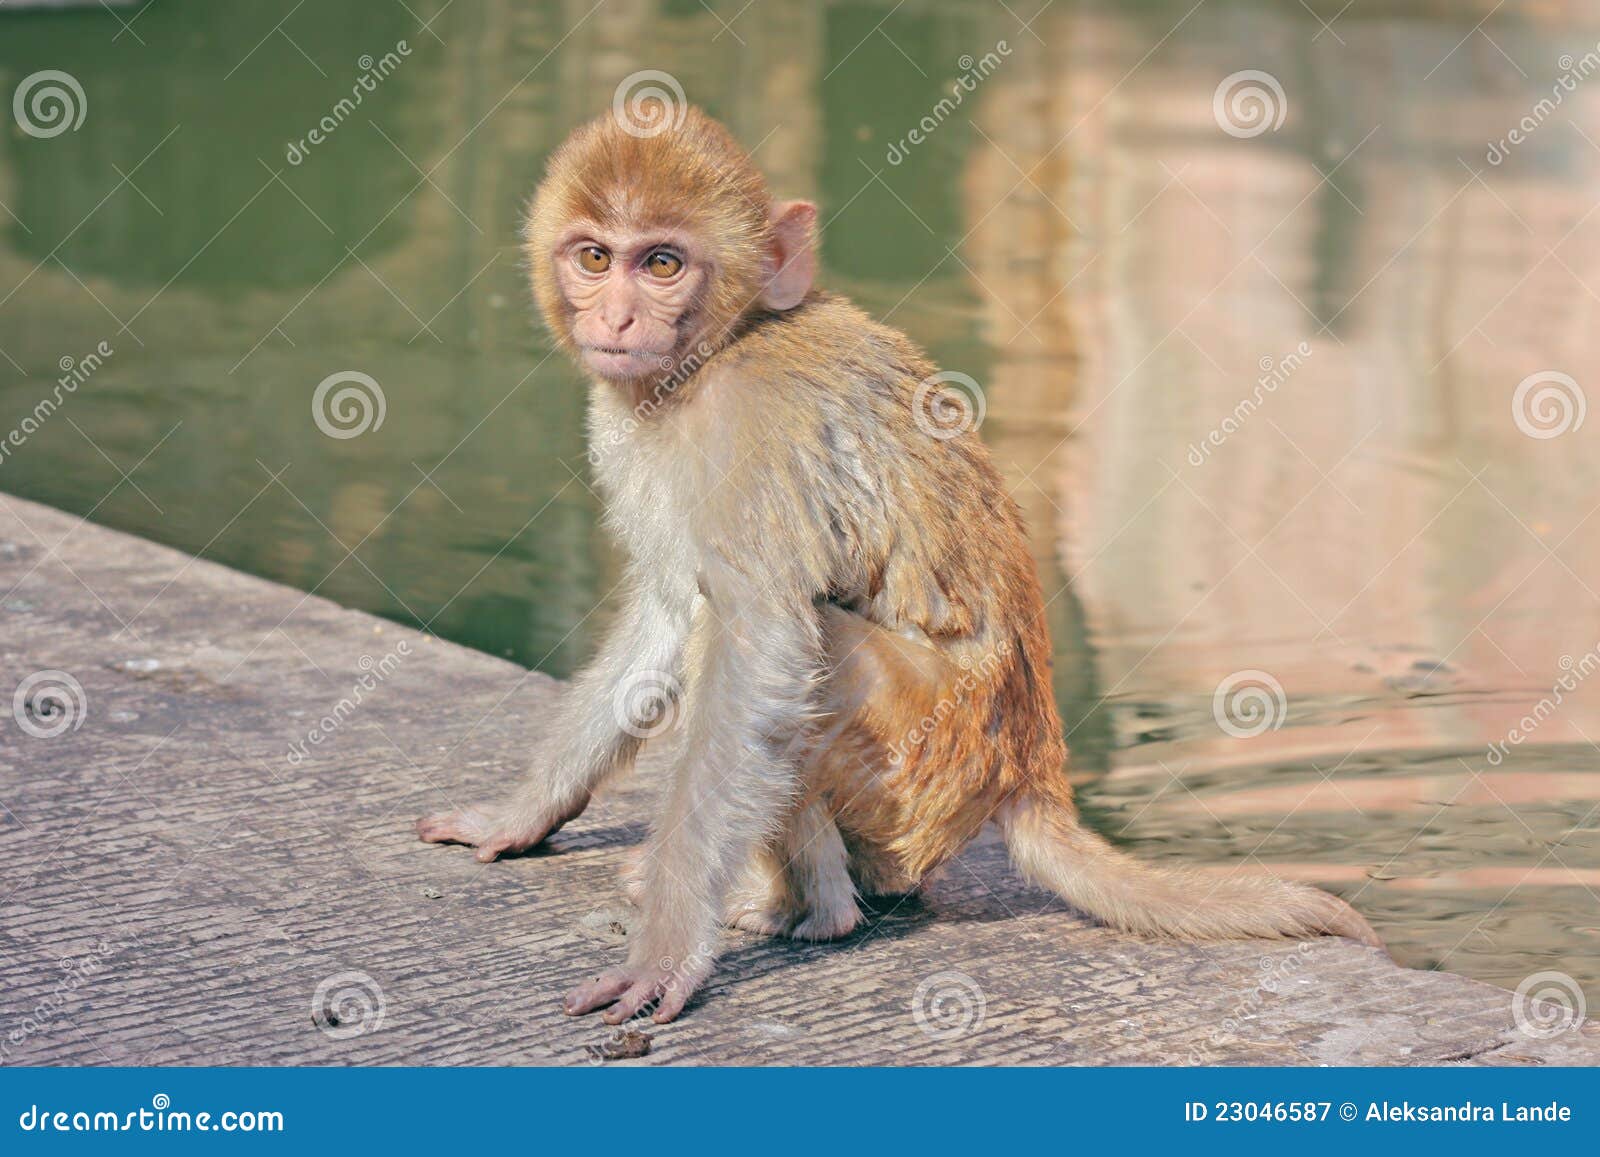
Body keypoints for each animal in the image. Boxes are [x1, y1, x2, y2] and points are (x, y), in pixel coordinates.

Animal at [416, 106, 1381, 1025]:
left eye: (661, 263)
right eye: (593, 256)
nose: (615, 318)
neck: (717, 354)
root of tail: (1030, 770)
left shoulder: (750, 430)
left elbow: (758, 652)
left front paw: (664, 950)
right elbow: (662, 611)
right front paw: (520, 814)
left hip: (925, 758)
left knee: (793, 659)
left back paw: (808, 909)